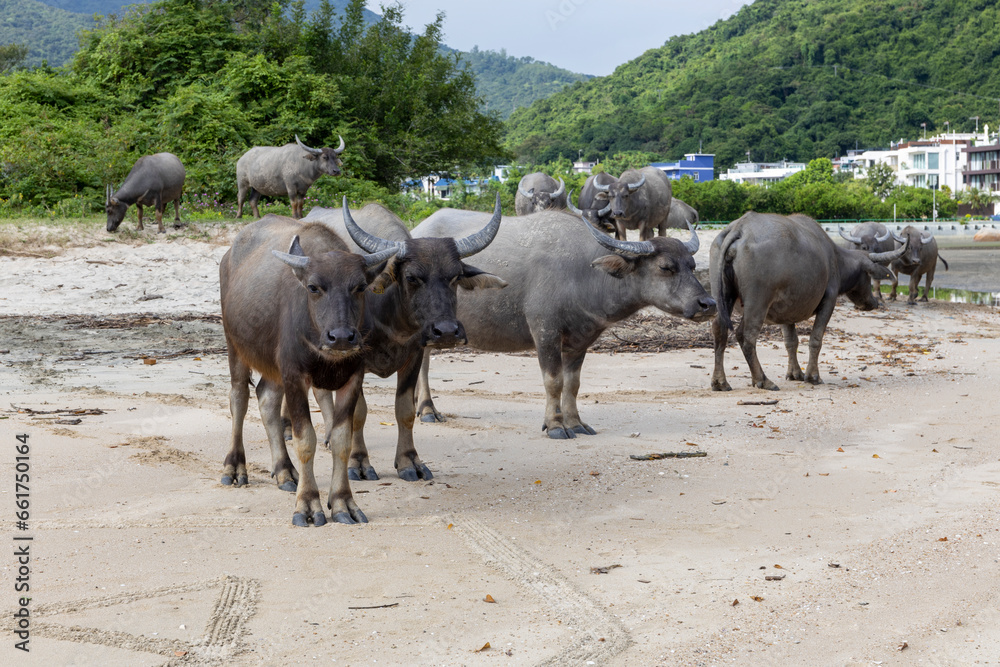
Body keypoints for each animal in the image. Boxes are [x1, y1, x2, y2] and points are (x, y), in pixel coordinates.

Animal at [219, 214, 397, 526]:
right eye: (314, 287)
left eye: (360, 286)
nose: (341, 337)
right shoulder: (295, 377)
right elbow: (306, 441)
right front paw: (308, 504)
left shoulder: (353, 377)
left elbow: (341, 439)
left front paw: (343, 503)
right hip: (235, 347)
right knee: (239, 398)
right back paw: (235, 468)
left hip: (273, 366)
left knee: (266, 398)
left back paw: (284, 471)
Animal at [412, 208, 716, 438]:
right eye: (665, 267)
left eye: (691, 265)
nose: (708, 304)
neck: (583, 275)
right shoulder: (545, 332)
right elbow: (554, 381)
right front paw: (556, 425)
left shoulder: (580, 341)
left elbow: (573, 383)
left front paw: (576, 423)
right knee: (423, 363)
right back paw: (427, 409)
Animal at [709, 212, 908, 392]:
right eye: (867, 275)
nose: (873, 303)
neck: (834, 258)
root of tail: (740, 227)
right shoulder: (829, 301)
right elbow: (815, 339)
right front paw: (812, 376)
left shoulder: (786, 310)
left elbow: (791, 341)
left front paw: (795, 373)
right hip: (757, 302)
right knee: (746, 336)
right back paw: (763, 380)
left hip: (723, 296)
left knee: (720, 329)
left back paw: (720, 382)